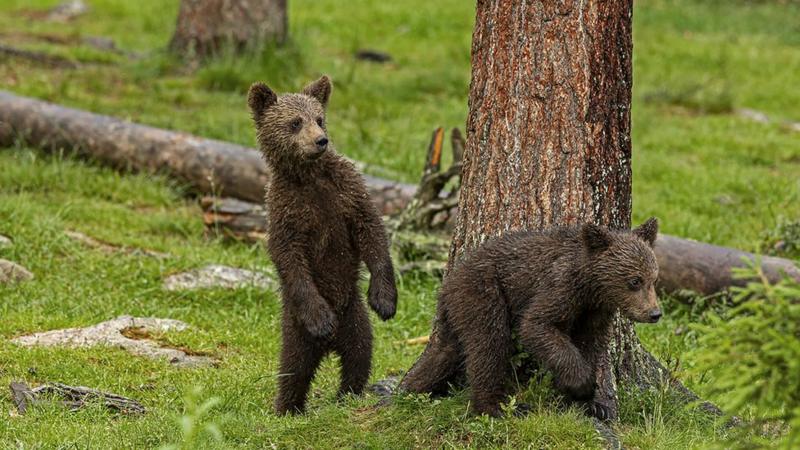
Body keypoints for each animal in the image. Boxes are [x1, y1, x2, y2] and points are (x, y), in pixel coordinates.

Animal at [247, 75, 398, 415]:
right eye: (294, 122)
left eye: (319, 118)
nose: (320, 141)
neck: (309, 176)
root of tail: (330, 347)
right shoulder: (285, 211)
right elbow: (289, 257)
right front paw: (321, 319)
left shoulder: (347, 192)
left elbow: (372, 232)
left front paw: (384, 300)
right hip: (295, 327)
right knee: (293, 370)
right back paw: (288, 407)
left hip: (355, 318)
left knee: (359, 357)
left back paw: (346, 394)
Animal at [400, 218, 661, 419]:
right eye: (634, 281)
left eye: (654, 279)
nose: (655, 313)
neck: (590, 286)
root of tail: (448, 283)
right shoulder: (559, 286)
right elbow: (537, 325)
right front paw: (583, 385)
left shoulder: (595, 311)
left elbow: (589, 343)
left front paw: (594, 405)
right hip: (484, 293)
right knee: (489, 345)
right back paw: (496, 407)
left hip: (458, 312)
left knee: (446, 351)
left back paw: (411, 388)